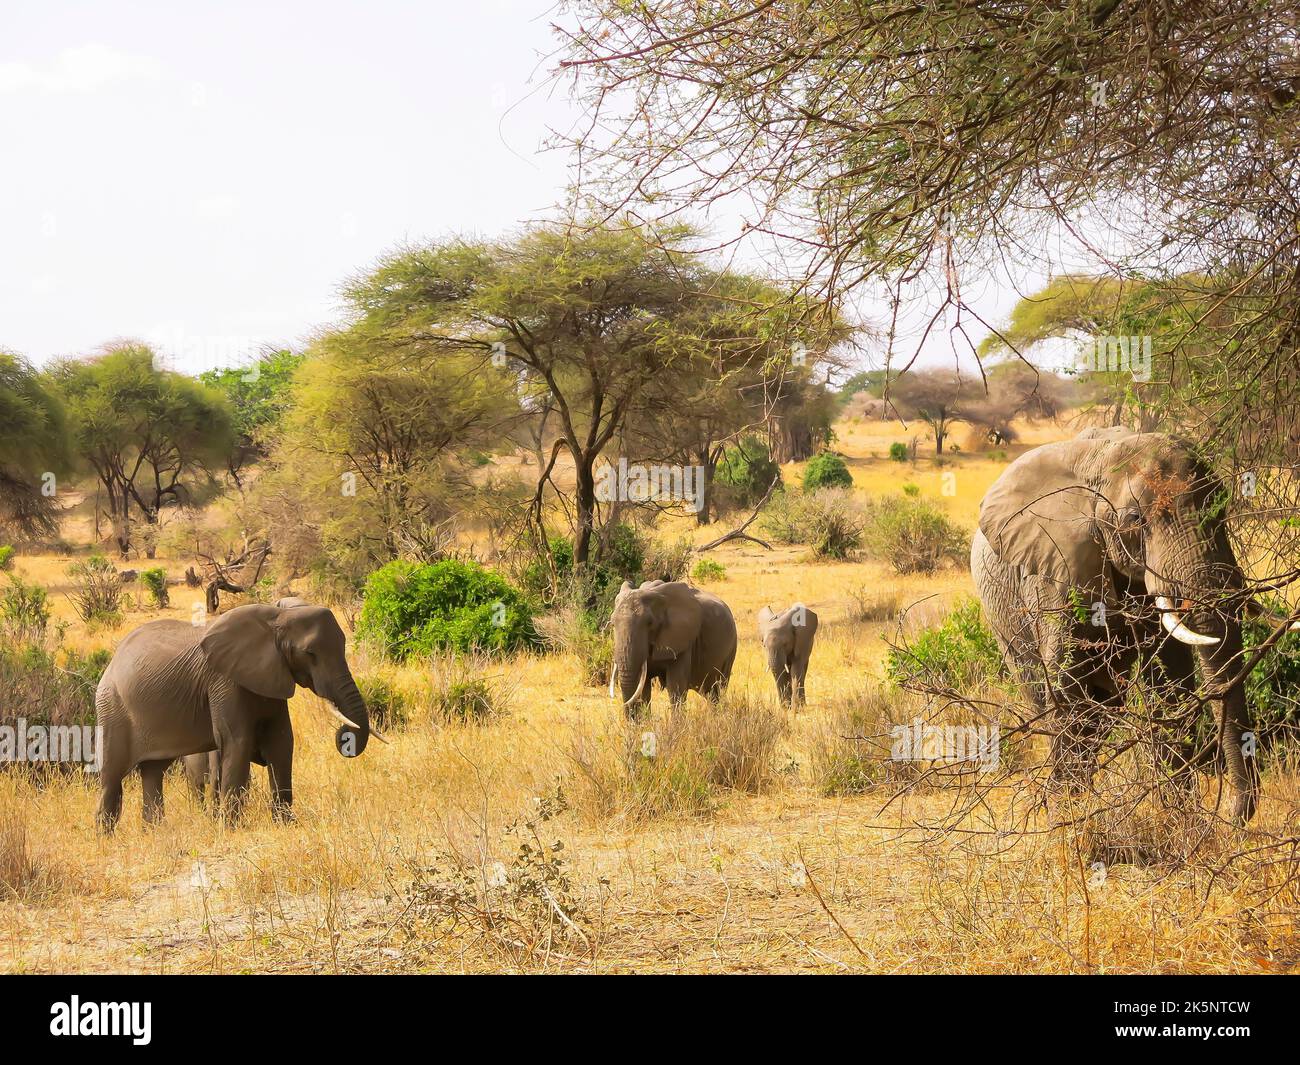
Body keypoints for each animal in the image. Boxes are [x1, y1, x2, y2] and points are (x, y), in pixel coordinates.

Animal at [93, 600, 372, 831]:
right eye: (310, 653)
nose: (343, 737)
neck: (276, 617)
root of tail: (111, 663)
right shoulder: (224, 680)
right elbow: (236, 741)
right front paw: (231, 829)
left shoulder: (270, 675)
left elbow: (282, 741)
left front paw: (286, 824)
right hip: (112, 708)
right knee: (112, 776)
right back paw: (105, 836)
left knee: (153, 772)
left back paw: (155, 833)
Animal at [609, 580, 737, 717]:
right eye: (612, 624)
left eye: (650, 623)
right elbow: (643, 686)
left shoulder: (683, 640)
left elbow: (675, 686)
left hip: (731, 650)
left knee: (718, 688)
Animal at [971, 425, 1290, 823]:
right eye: (1136, 519)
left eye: (1222, 505)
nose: (1233, 818)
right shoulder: (1054, 570)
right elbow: (1067, 682)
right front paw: (1064, 818)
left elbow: (1170, 681)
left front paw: (1180, 820)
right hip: (1002, 618)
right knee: (1045, 693)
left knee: (1107, 706)